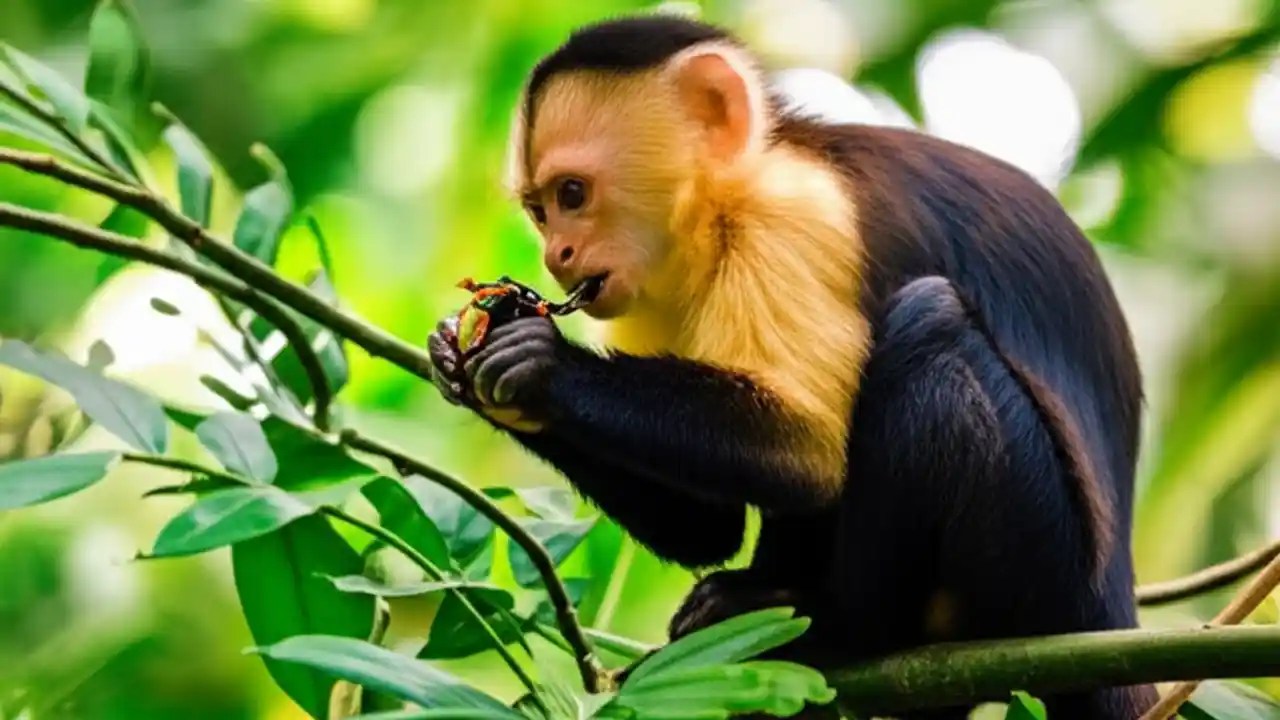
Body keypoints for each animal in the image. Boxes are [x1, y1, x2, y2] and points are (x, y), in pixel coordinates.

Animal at [426, 15, 1157, 719]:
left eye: (573, 194)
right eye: (539, 210)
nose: (558, 258)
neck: (728, 201)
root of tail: (1107, 616)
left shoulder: (796, 219)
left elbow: (805, 456)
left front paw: (544, 366)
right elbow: (705, 527)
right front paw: (474, 360)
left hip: (1043, 567)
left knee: (929, 323)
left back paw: (839, 631)